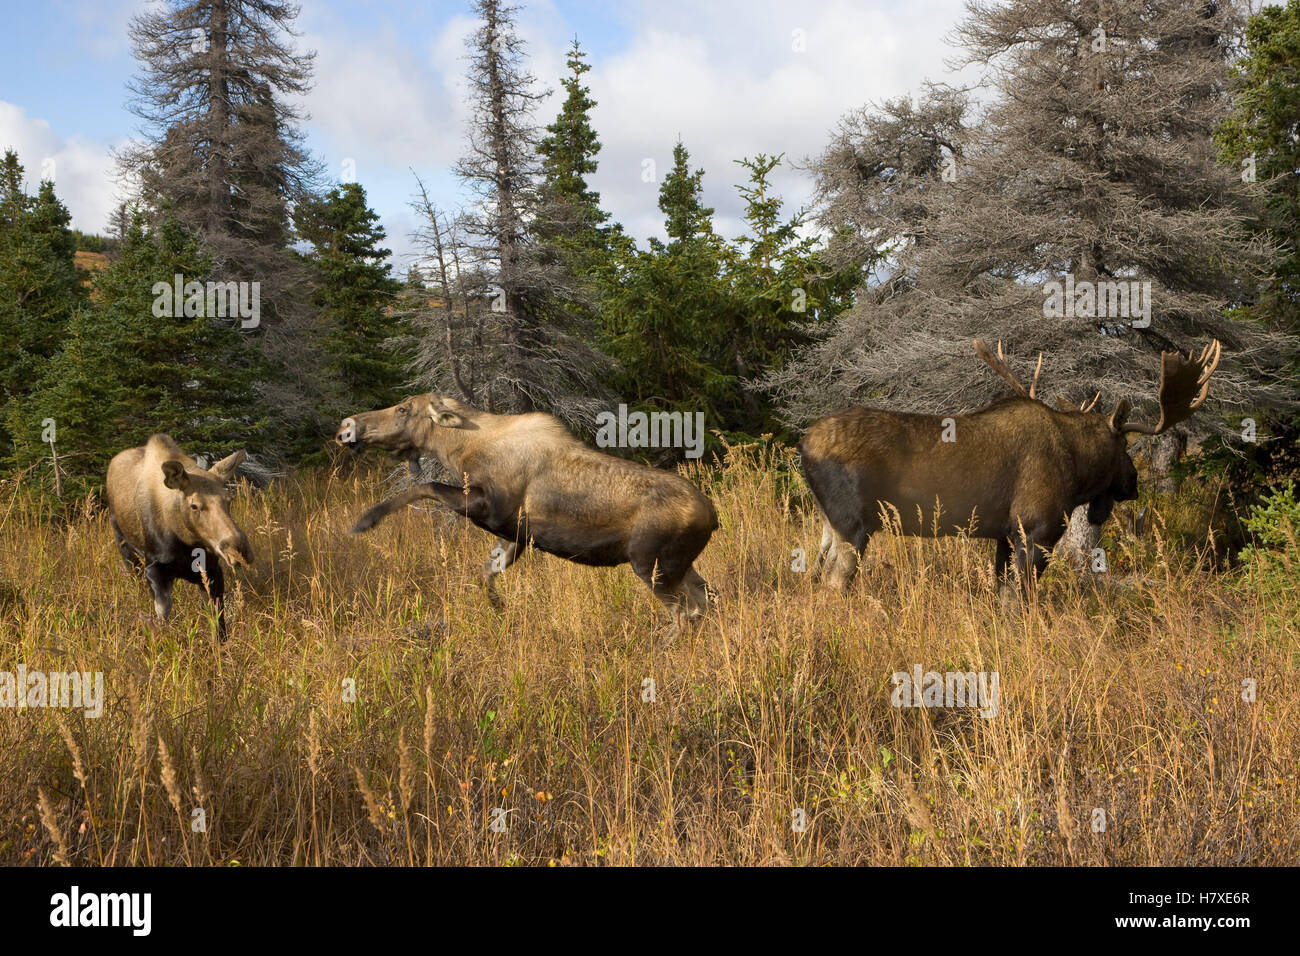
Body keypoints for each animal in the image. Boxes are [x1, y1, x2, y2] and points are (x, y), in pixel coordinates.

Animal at [106, 435, 252, 638]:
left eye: (229, 499)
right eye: (194, 505)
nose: (238, 549)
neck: (186, 543)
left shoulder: (211, 570)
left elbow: (218, 620)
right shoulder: (154, 569)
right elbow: (163, 616)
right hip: (124, 546)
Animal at [335, 395, 718, 635]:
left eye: (403, 409)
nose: (346, 426)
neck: (461, 450)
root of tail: (713, 517)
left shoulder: (490, 506)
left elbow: (425, 486)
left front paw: (366, 520)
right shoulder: (513, 534)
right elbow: (486, 573)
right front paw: (499, 607)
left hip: (651, 565)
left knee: (684, 615)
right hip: (679, 566)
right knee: (705, 599)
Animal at [799, 339, 1221, 593]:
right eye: (1125, 446)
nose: (1133, 482)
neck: (1078, 470)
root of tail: (803, 444)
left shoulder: (1003, 535)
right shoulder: (1035, 529)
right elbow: (1022, 600)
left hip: (829, 525)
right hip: (854, 526)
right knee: (833, 583)